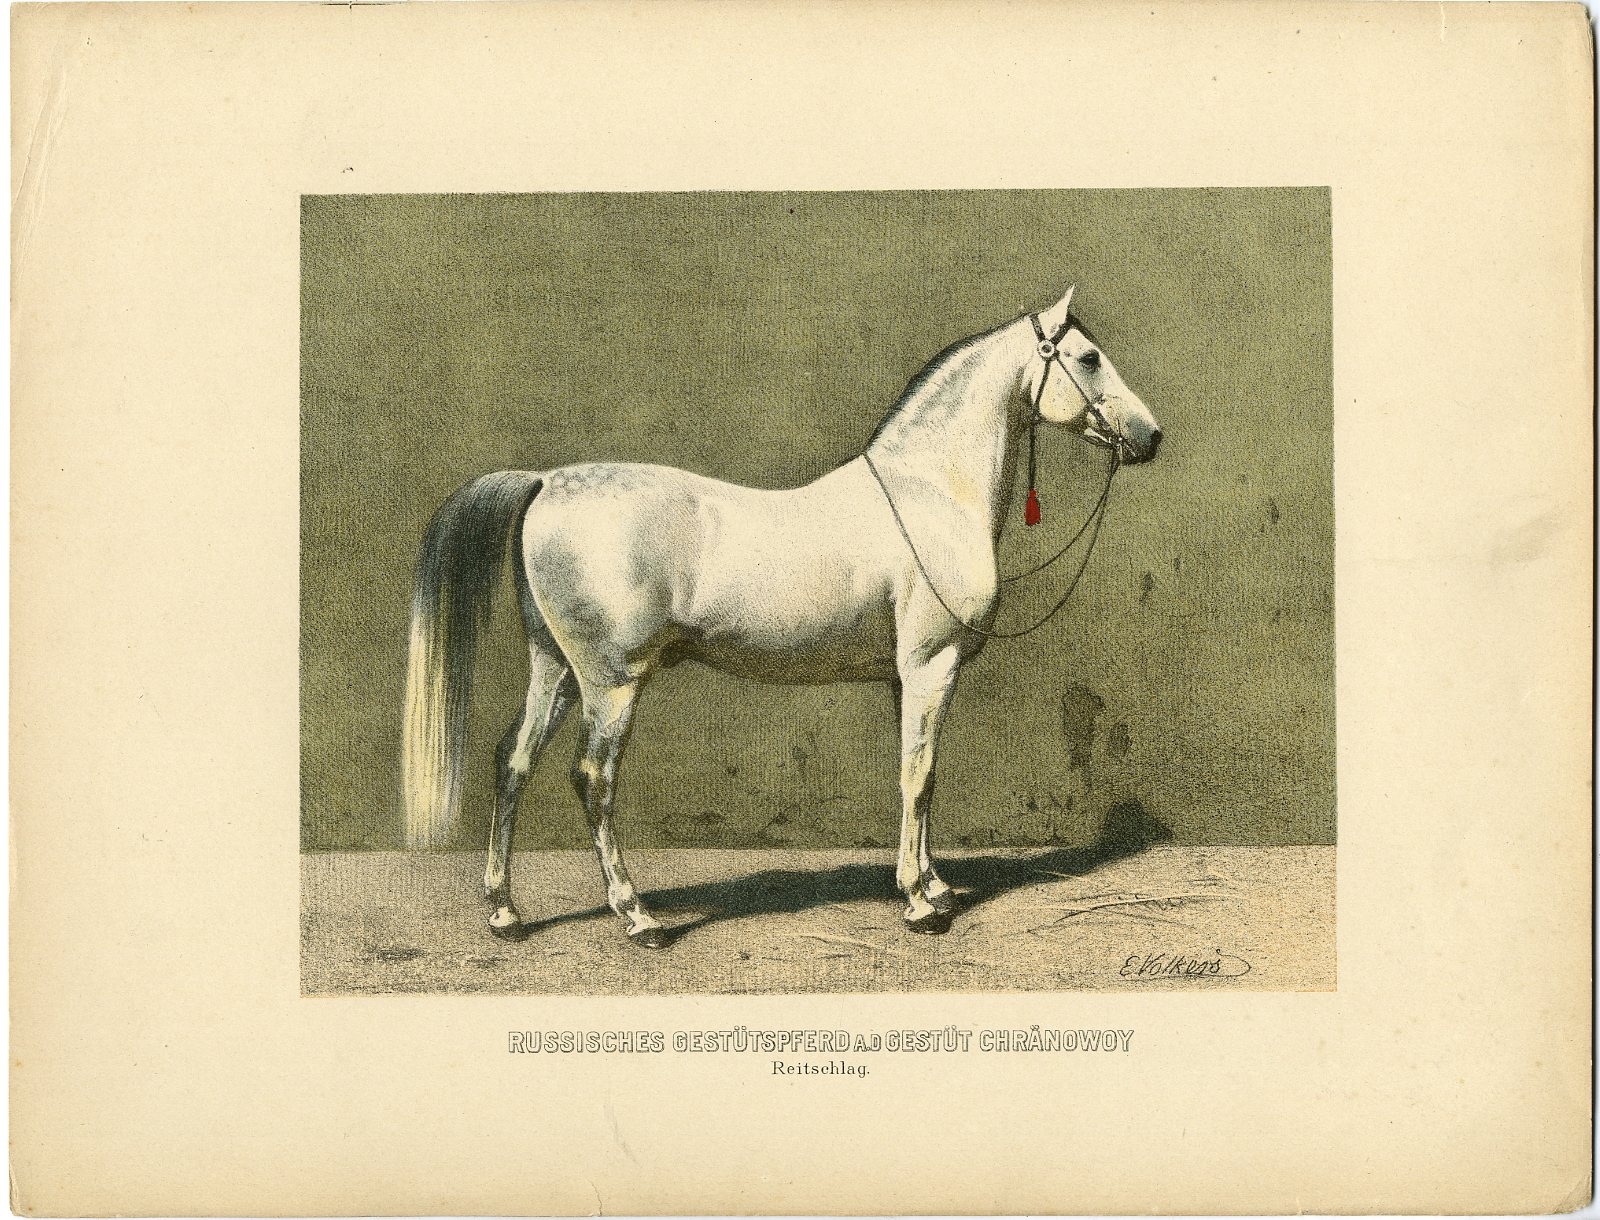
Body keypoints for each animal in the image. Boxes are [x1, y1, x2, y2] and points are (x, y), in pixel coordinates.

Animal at [402, 285, 1162, 948]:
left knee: (513, 761)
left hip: (555, 668)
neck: (929, 493)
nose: (1151, 436)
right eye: (1088, 357)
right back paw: (639, 918)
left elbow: (922, 773)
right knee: (594, 780)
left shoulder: (905, 677)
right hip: (610, 683)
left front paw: (935, 886)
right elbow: (916, 777)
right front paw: (920, 905)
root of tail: (545, 480)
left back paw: (505, 913)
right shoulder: (932, 665)